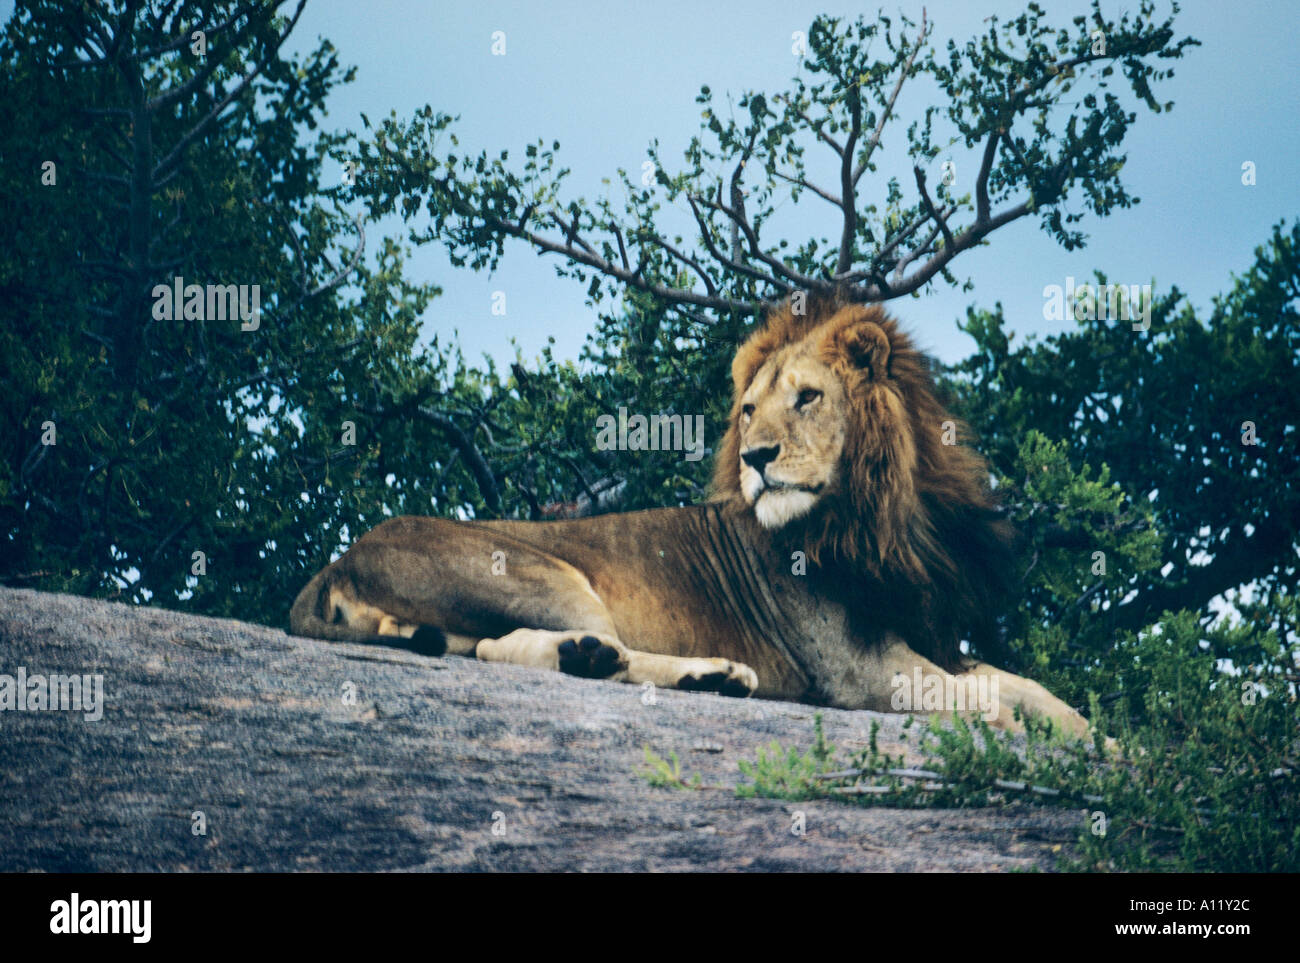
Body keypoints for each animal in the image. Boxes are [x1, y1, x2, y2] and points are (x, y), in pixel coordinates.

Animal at [290, 296, 1089, 736]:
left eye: (807, 397)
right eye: (749, 411)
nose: (756, 458)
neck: (884, 516)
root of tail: (338, 558)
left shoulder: (932, 638)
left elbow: (1031, 690)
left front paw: (1099, 738)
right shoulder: (860, 670)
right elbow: (992, 701)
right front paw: (1094, 751)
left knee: (481, 646)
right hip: (543, 573)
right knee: (522, 647)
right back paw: (695, 671)